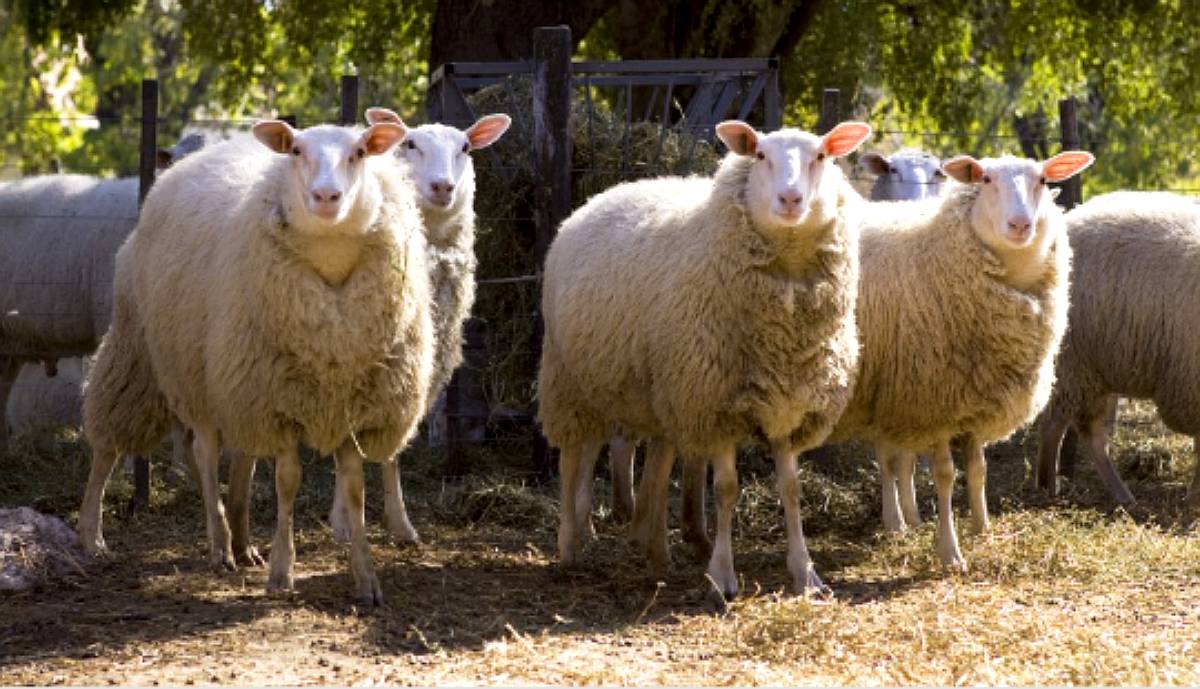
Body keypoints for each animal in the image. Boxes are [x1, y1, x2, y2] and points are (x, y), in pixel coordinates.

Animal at [78, 119, 431, 605]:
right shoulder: (274, 402)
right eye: (296, 151)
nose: (326, 197)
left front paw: (366, 578)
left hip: (229, 385)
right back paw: (114, 535)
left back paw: (240, 539)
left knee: (233, 457)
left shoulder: (347, 403)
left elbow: (355, 490)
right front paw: (283, 572)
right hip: (151, 355)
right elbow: (287, 481)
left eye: (359, 152)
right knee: (165, 448)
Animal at [537, 119, 871, 598]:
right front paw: (722, 576)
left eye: (821, 156)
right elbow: (727, 488)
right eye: (760, 155)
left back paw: (652, 546)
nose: (791, 199)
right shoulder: (715, 406)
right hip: (569, 378)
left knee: (655, 460)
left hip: (654, 390)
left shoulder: (787, 407)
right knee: (571, 457)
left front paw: (806, 573)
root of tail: (608, 193)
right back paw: (571, 543)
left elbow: (791, 490)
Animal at [1036, 192, 1200, 510]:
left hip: (1104, 367)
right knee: (1062, 428)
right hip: (1073, 362)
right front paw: (1196, 496)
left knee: (1090, 436)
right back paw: (1050, 491)